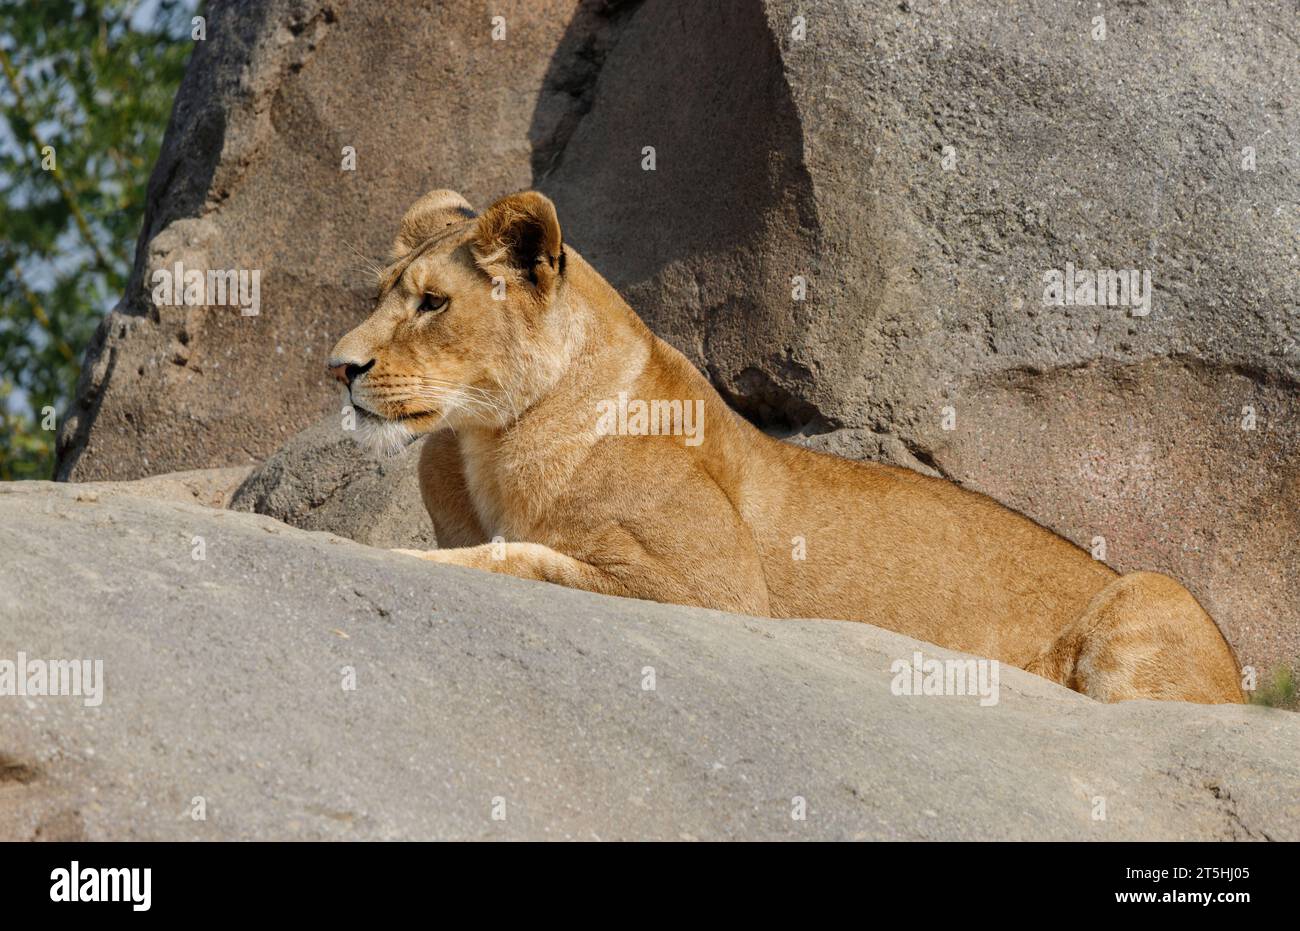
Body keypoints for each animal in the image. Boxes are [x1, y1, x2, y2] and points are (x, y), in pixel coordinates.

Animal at [327, 188, 1244, 704]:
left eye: (433, 303)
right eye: (380, 295)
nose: (338, 367)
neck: (482, 441)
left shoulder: (717, 595)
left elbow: (520, 555)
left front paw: (398, 559)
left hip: (1153, 593)